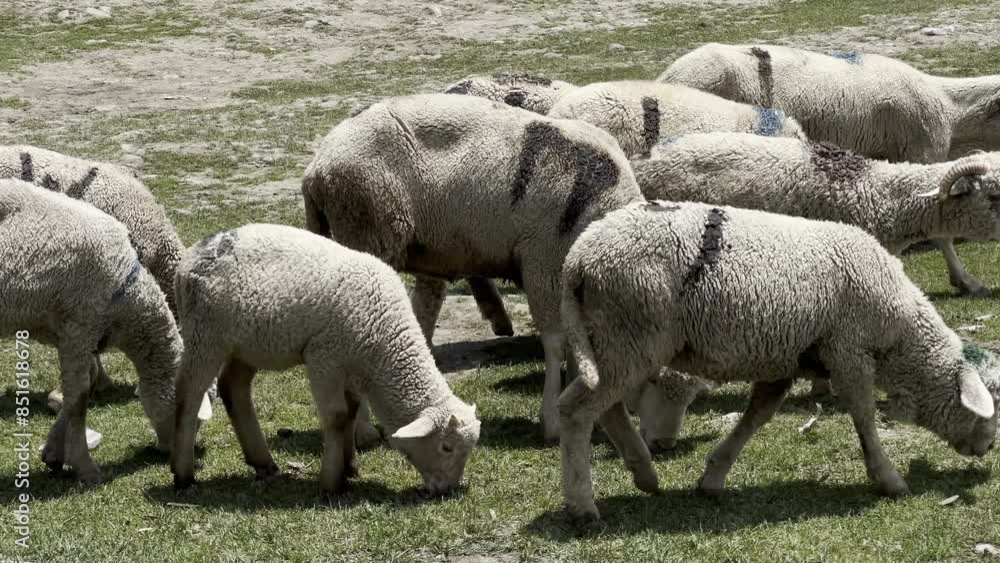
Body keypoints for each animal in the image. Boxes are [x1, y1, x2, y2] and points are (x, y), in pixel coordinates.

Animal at [0, 179, 181, 484]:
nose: (173, 456)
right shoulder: (80, 326)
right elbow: (79, 398)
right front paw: (85, 468)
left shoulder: (76, 336)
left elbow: (86, 382)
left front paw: (54, 453)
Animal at [170, 224, 481, 497]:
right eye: (446, 447)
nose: (447, 490)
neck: (384, 342)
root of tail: (190, 258)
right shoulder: (325, 356)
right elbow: (337, 416)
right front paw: (332, 482)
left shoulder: (350, 365)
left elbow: (353, 411)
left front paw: (350, 465)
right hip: (205, 335)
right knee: (189, 396)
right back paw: (183, 476)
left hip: (246, 344)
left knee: (233, 388)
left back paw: (263, 462)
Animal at [301, 93, 644, 443]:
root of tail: (317, 168)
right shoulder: (541, 261)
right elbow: (557, 343)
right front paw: (551, 420)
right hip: (365, 228)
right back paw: (365, 432)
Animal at [557, 200, 999, 521]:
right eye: (990, 405)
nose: (987, 448)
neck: (900, 334)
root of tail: (578, 258)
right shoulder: (850, 352)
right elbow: (864, 417)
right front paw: (889, 478)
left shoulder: (782, 361)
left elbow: (756, 419)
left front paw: (714, 476)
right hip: (630, 334)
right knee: (576, 410)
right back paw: (582, 505)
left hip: (610, 342)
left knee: (607, 407)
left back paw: (644, 474)